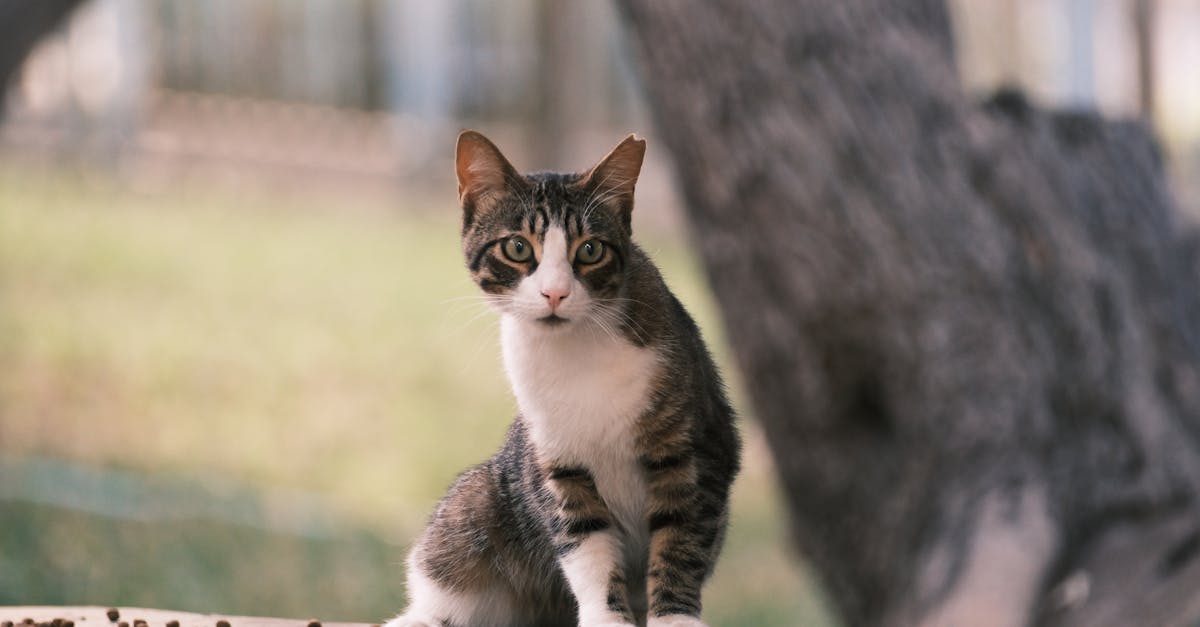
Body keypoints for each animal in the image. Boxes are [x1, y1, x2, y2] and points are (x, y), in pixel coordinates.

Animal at [384, 130, 739, 624]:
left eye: (590, 250)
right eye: (517, 247)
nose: (555, 293)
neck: (575, 351)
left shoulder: (697, 446)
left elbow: (681, 538)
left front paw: (674, 618)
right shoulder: (558, 457)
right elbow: (586, 542)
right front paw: (606, 617)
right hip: (477, 499)